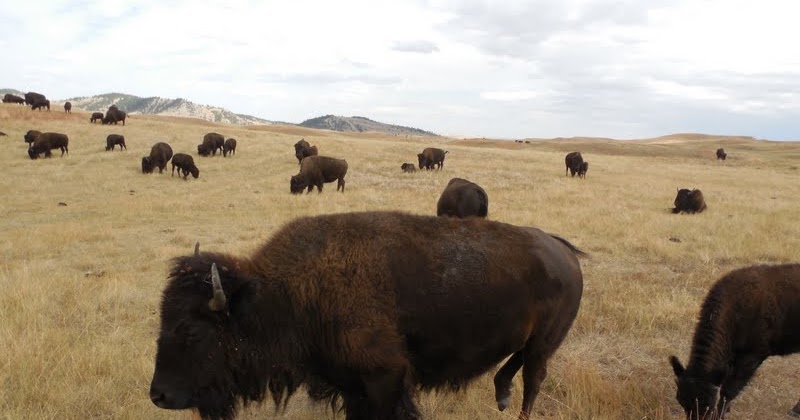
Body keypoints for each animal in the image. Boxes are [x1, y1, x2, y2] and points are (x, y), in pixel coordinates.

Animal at [149, 211, 584, 420]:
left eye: (193, 332)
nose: (158, 395)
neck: (287, 293)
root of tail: (562, 251)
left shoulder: (384, 379)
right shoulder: (352, 387)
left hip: (544, 345)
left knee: (533, 379)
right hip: (533, 343)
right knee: (516, 366)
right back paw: (500, 394)